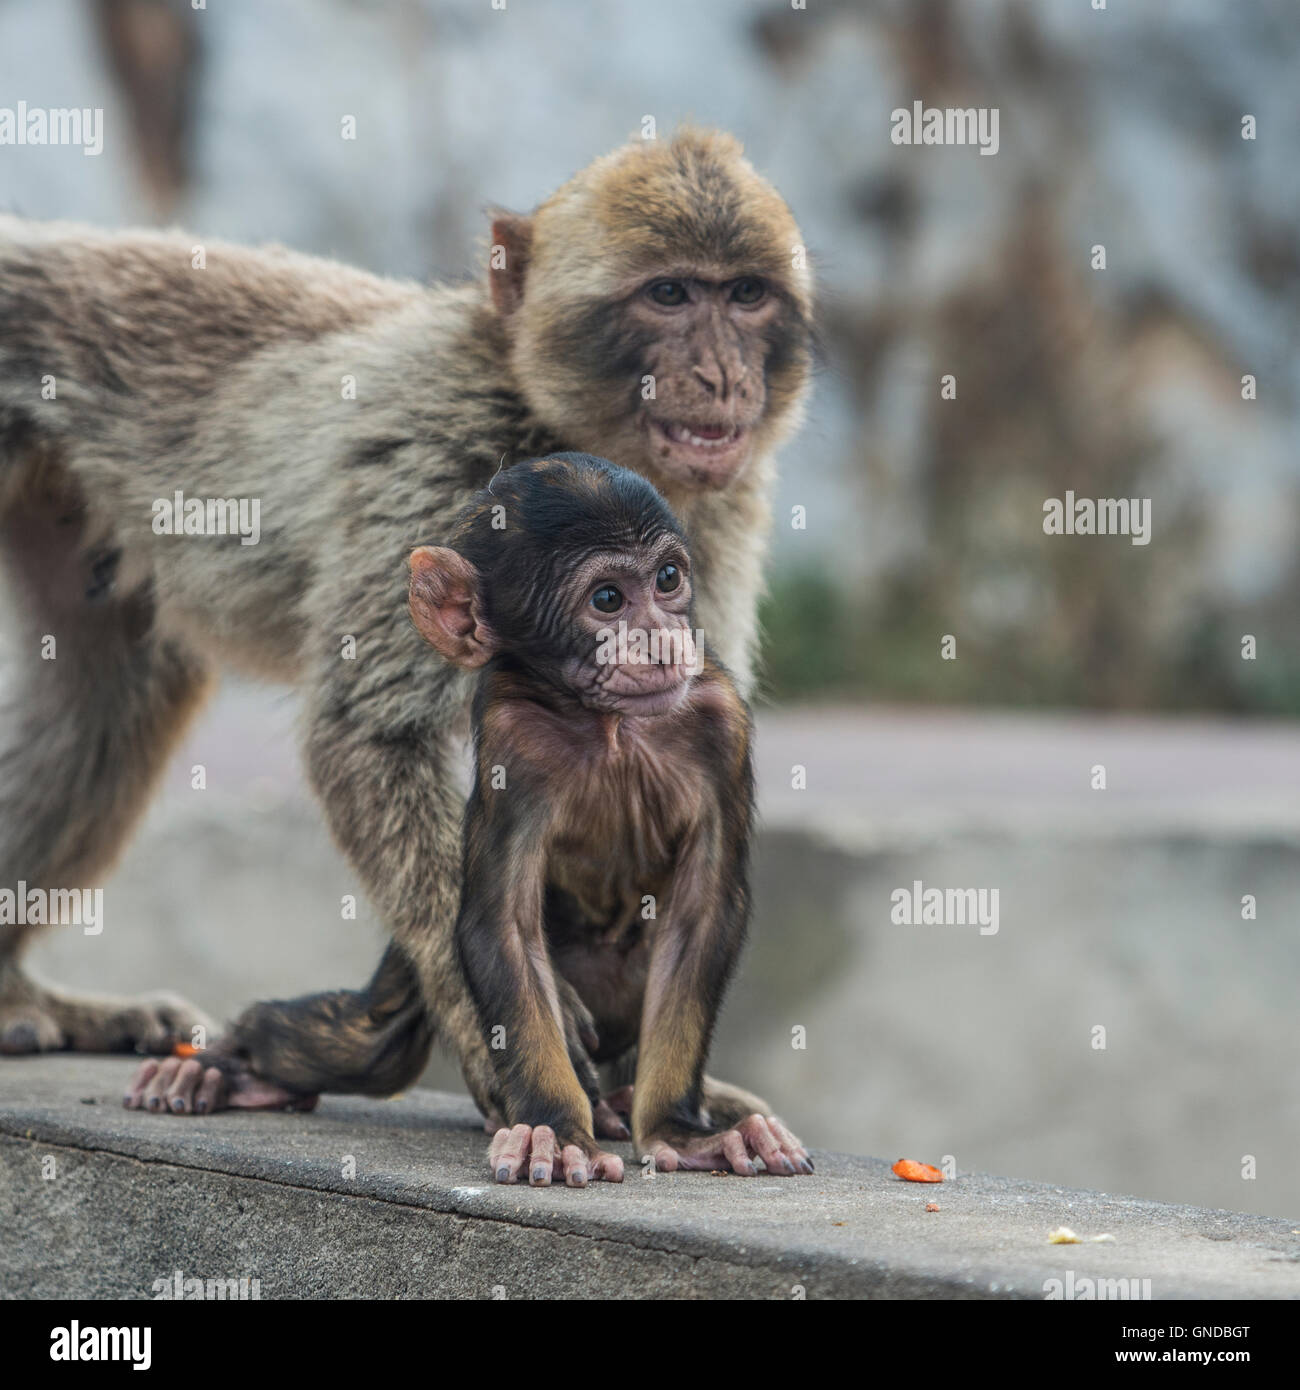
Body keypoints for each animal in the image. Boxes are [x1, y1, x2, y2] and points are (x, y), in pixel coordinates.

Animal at [409, 453, 811, 1184]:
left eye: (668, 579)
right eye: (606, 601)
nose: (664, 642)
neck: (610, 724)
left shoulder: (720, 718)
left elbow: (700, 913)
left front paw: (681, 1130)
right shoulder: (513, 733)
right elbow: (502, 926)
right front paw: (553, 1125)